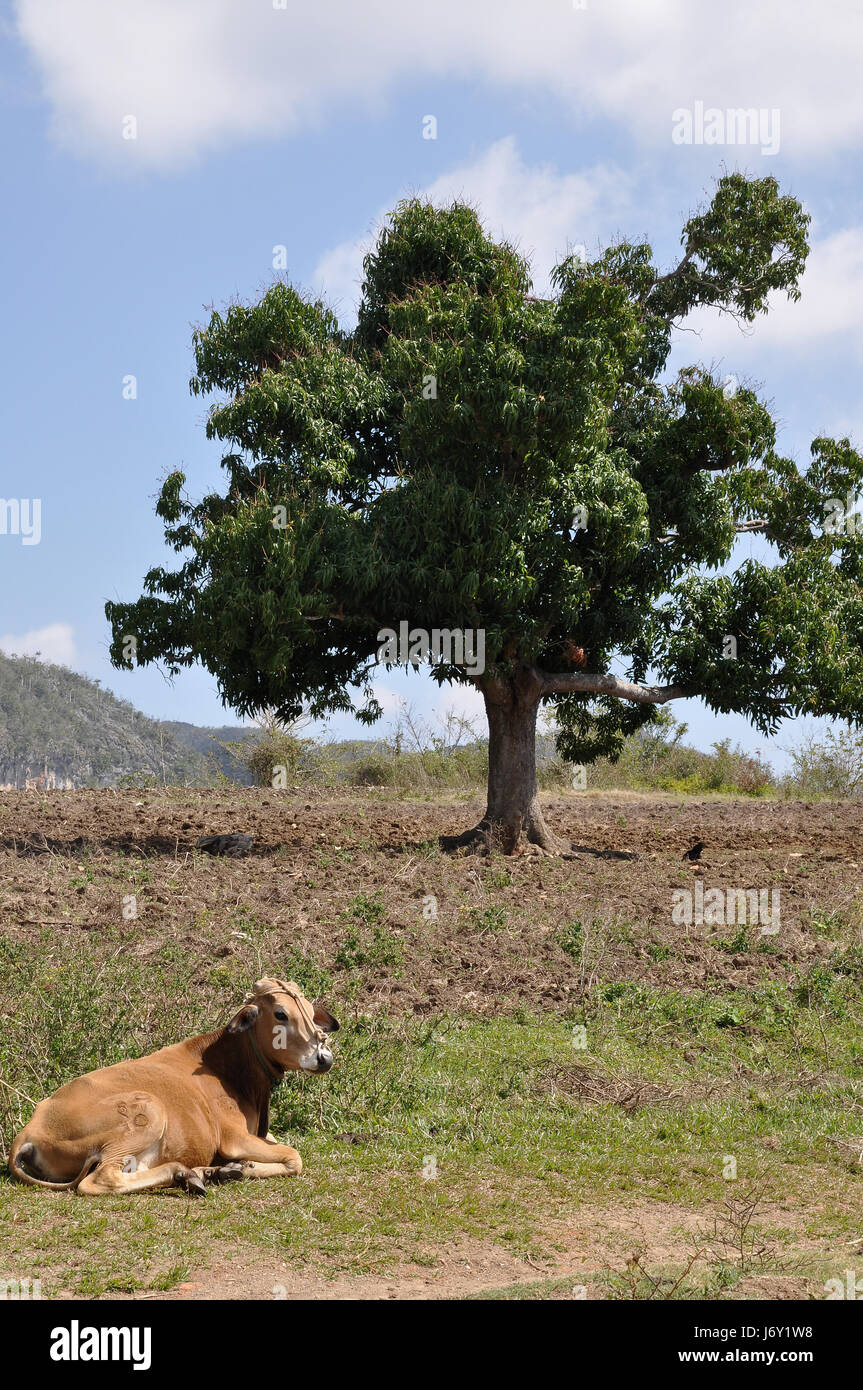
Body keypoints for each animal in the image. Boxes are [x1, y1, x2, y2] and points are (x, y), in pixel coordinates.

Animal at [8, 978, 338, 1196]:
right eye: (281, 1014)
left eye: (310, 1012)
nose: (324, 1058)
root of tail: (30, 1129)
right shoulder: (234, 1139)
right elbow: (294, 1156)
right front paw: (246, 1167)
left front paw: (234, 1168)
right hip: (147, 1112)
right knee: (101, 1179)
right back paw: (184, 1173)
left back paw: (207, 1172)